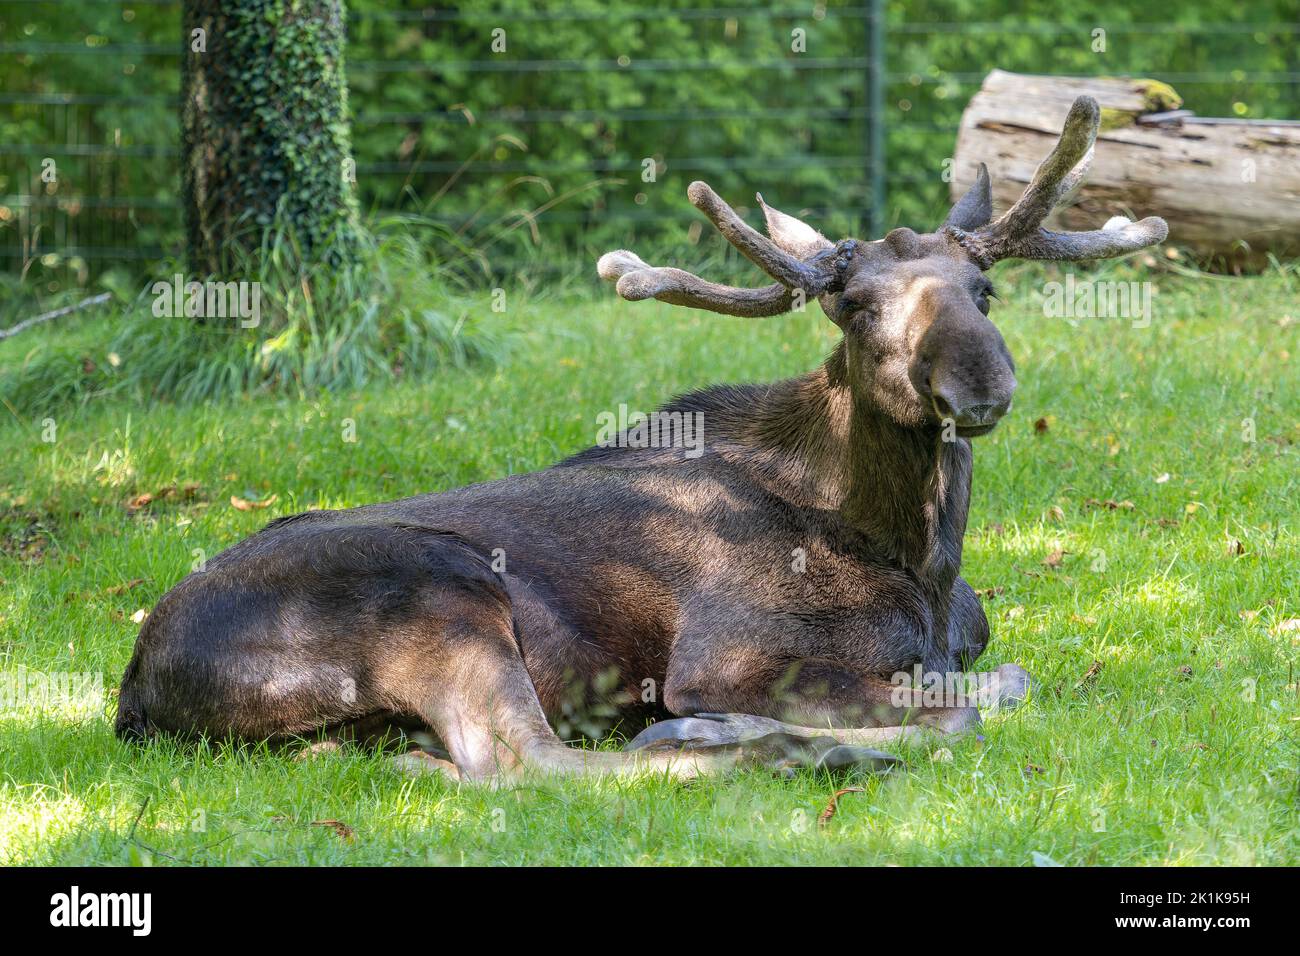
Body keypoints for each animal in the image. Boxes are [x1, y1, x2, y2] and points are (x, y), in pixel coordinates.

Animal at [115, 97, 1166, 782]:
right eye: (855, 306)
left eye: (984, 290)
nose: (978, 382)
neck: (922, 560)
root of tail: (132, 695)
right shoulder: (731, 655)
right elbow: (973, 701)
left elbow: (994, 677)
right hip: (441, 592)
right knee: (531, 766)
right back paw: (775, 750)